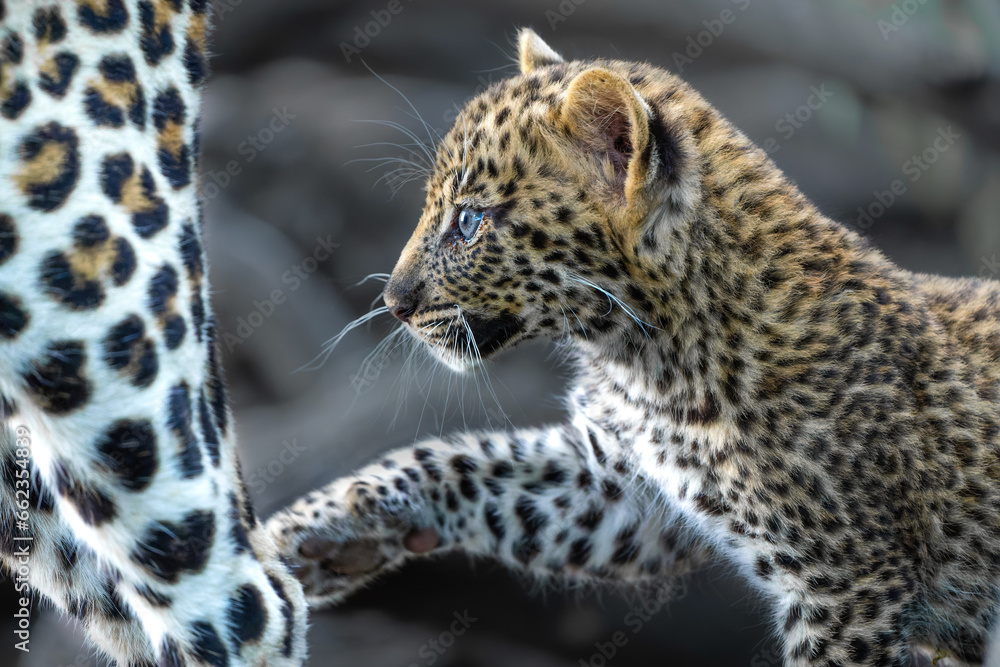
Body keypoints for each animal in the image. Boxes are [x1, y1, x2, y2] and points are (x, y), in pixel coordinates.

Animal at [267, 28, 1000, 667]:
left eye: (470, 221)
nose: (394, 303)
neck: (649, 358)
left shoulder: (851, 584)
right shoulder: (620, 489)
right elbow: (462, 461)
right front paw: (313, 533)